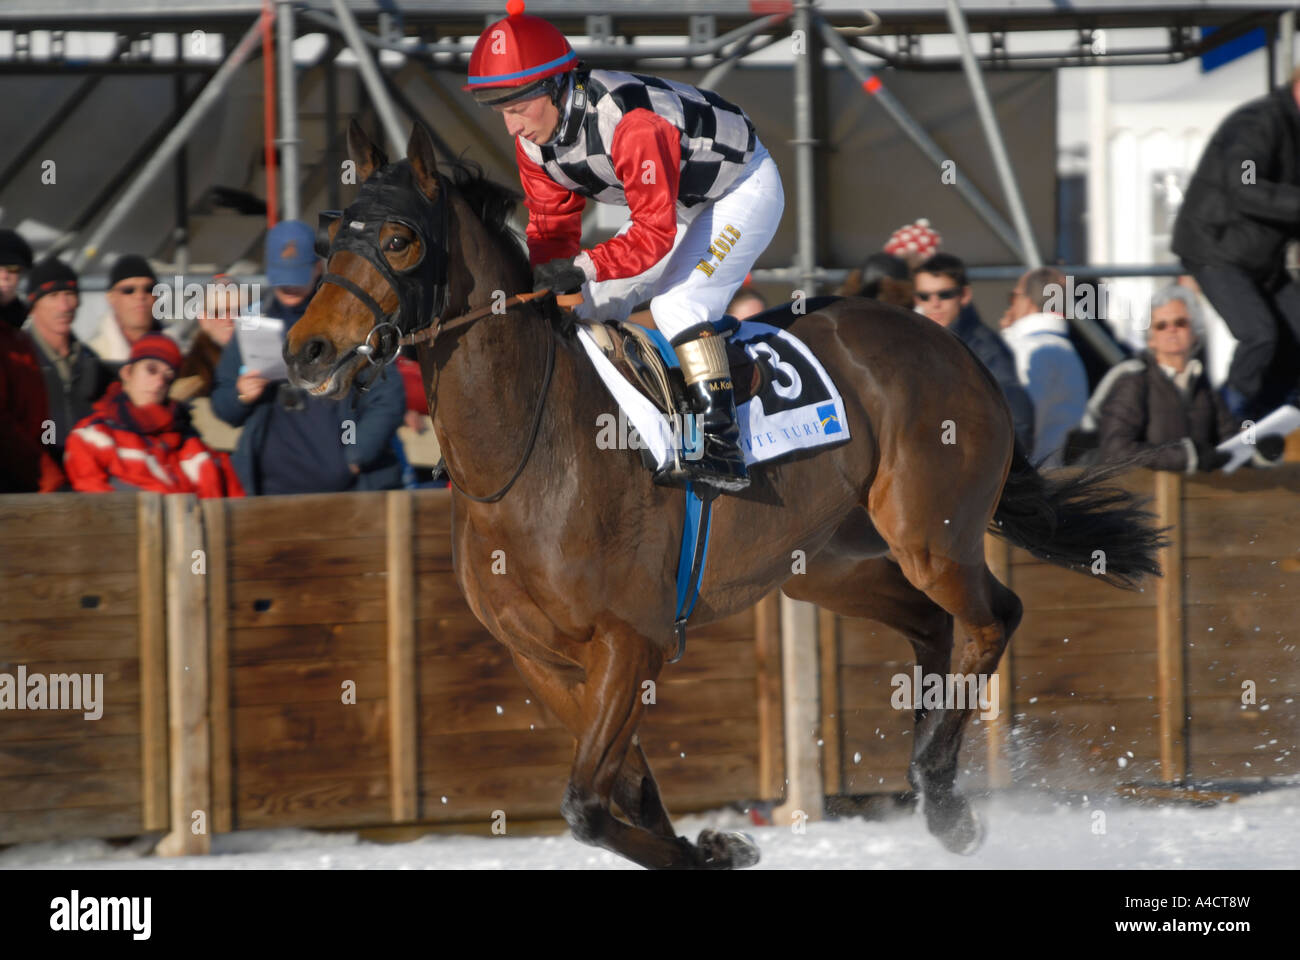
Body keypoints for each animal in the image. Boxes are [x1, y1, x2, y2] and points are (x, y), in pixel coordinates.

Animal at [283, 120, 1165, 869]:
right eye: (331, 234)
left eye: (398, 239)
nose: (305, 350)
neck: (527, 454)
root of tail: (952, 343)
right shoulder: (544, 661)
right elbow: (625, 793)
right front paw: (713, 846)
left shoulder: (629, 641)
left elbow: (587, 805)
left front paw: (716, 848)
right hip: (826, 565)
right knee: (931, 625)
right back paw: (927, 768)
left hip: (928, 533)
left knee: (992, 616)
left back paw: (944, 800)